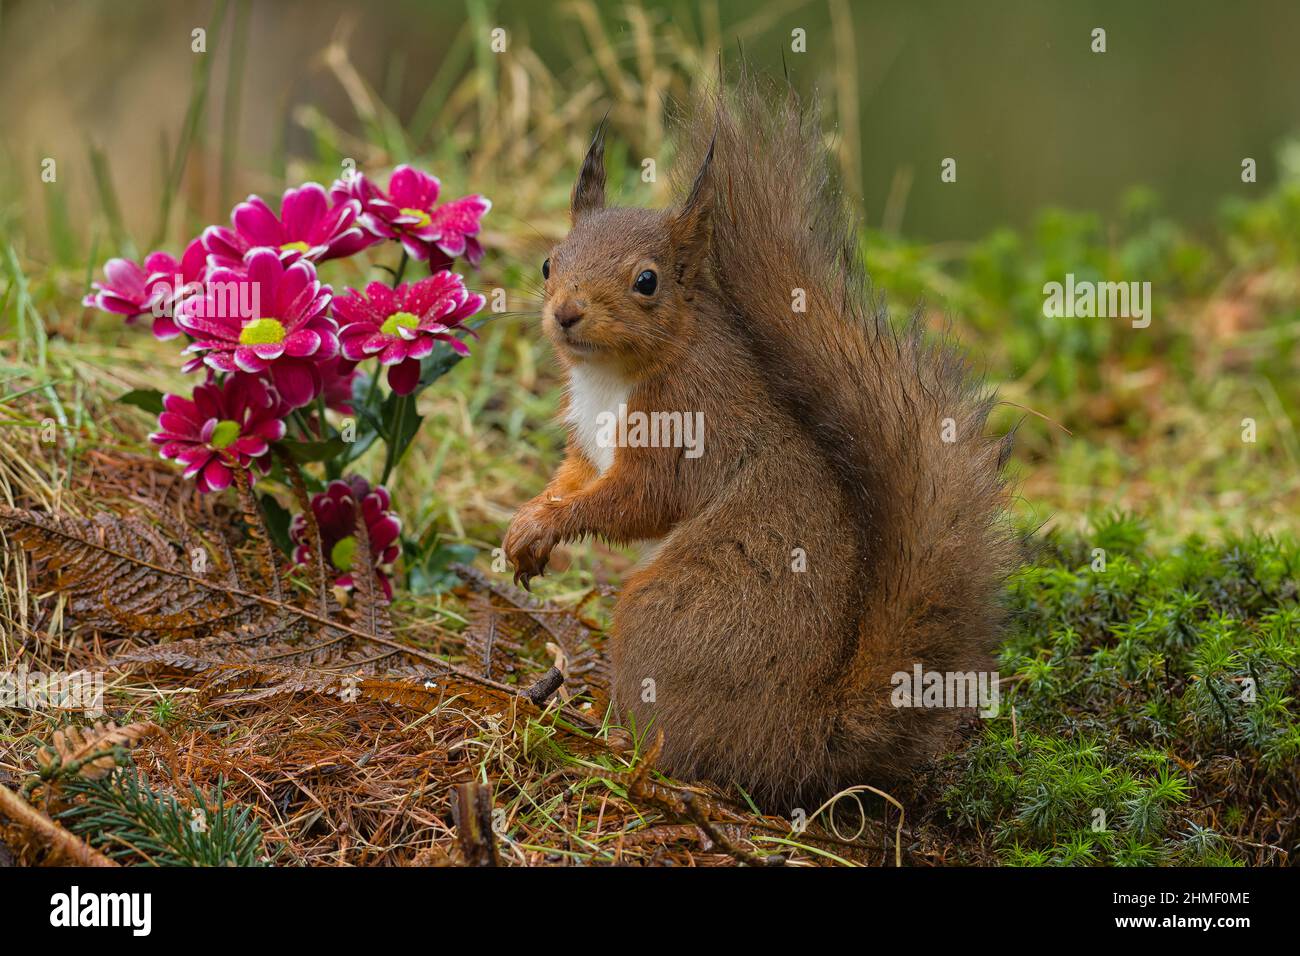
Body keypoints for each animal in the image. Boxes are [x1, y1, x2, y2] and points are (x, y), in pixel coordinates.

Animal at [504, 71, 1017, 812]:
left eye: (646, 281)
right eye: (549, 263)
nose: (565, 313)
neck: (614, 375)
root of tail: (801, 738)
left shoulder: (687, 425)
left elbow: (638, 501)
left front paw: (552, 524)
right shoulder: (587, 446)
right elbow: (572, 478)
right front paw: (527, 526)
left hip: (665, 616)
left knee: (684, 750)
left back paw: (621, 741)